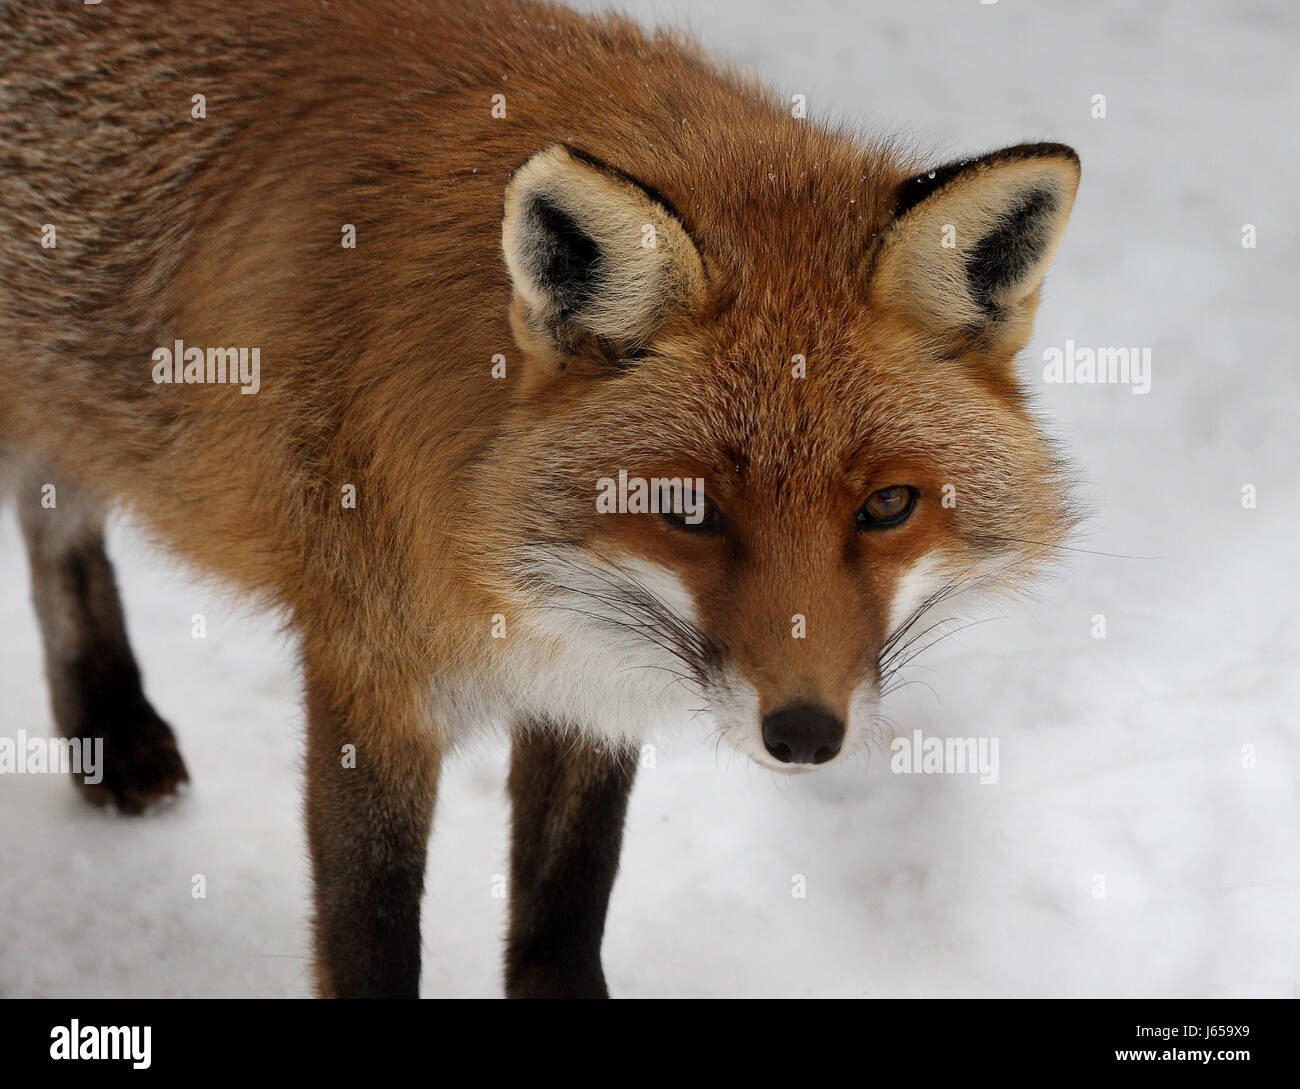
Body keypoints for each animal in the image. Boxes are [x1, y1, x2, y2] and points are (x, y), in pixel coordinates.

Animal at [0, 0, 1080, 997]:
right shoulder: (372, 672)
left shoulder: (586, 687)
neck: (517, 576)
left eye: (888, 507)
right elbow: (373, 935)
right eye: (687, 509)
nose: (807, 735)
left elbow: (562, 918)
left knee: (57, 514)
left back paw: (107, 726)